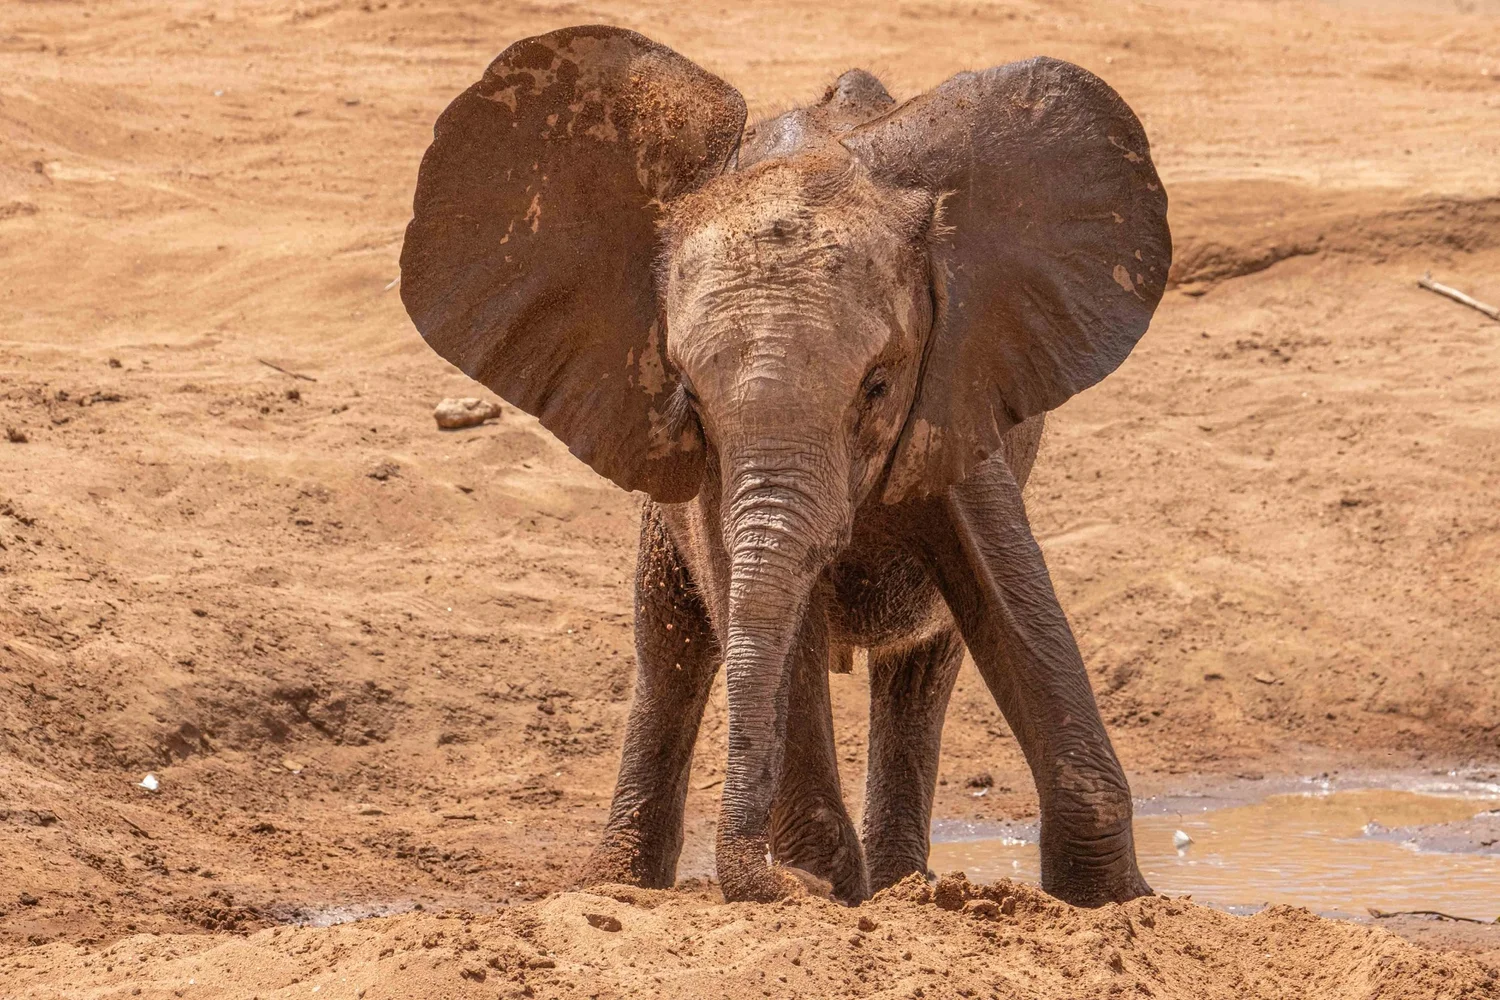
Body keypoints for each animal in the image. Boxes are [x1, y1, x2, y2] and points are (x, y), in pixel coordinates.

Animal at [399, 25, 1171, 907]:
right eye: (689, 395)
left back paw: (907, 886)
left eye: (877, 385)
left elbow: (1006, 594)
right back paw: (617, 887)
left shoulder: (955, 397)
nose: (777, 879)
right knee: (669, 645)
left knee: (924, 665)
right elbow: (768, 617)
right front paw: (822, 882)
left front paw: (1118, 902)